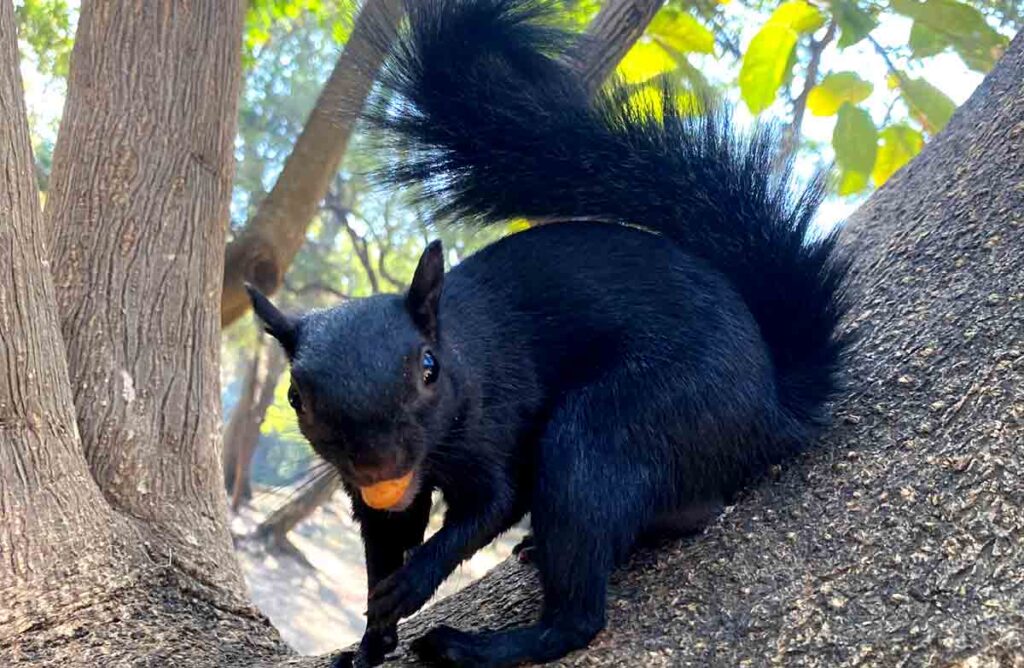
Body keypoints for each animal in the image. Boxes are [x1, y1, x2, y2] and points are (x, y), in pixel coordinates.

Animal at [247, 0, 849, 665]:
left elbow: (492, 506)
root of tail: (771, 408)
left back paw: (475, 646)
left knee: (578, 616)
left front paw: (413, 581)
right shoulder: (376, 499)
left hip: (618, 425)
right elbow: (386, 539)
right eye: (296, 398)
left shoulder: (498, 426)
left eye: (429, 368)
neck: (465, 357)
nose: (379, 465)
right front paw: (369, 642)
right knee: (690, 507)